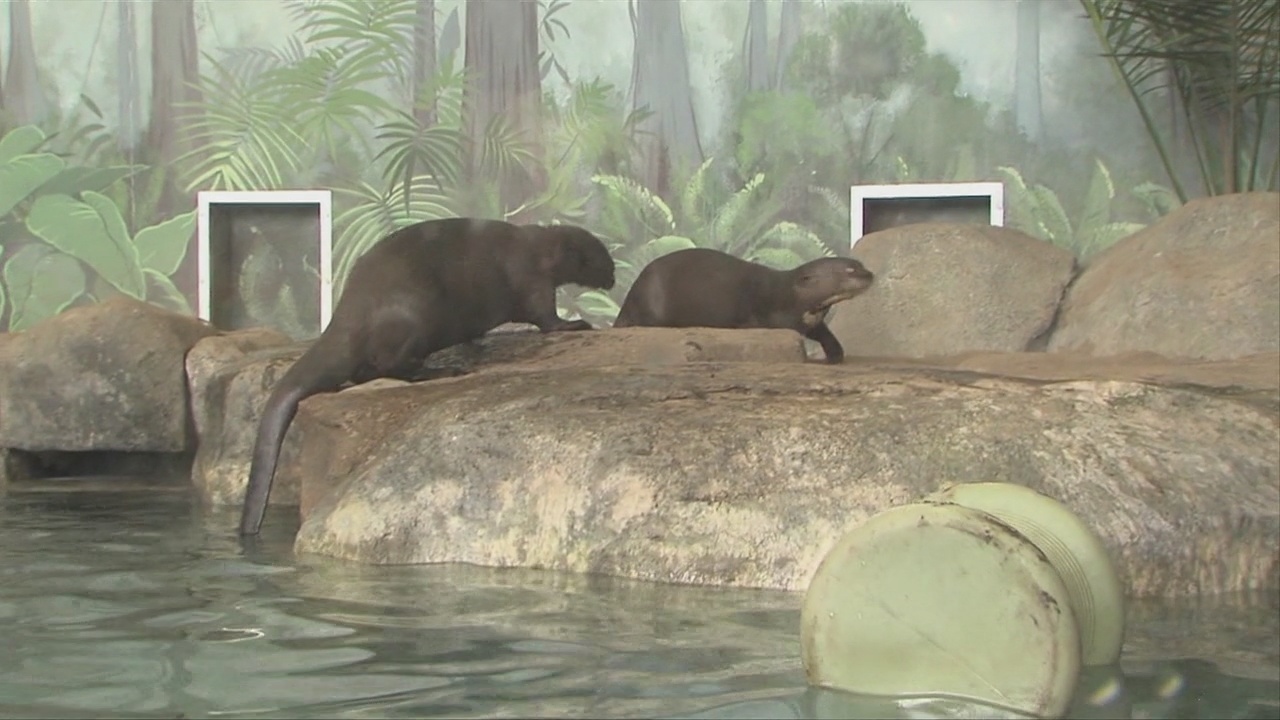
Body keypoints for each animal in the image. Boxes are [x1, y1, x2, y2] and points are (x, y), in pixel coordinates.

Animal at [238, 218, 616, 536]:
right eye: (603, 259)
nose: (613, 279)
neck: (540, 251)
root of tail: (350, 313)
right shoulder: (532, 280)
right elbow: (545, 317)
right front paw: (575, 324)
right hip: (413, 317)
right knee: (389, 365)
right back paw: (441, 369)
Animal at [612, 248, 873, 363]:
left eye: (861, 265)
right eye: (850, 270)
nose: (869, 275)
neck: (784, 295)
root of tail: (630, 296)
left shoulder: (811, 321)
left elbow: (825, 335)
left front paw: (835, 354)